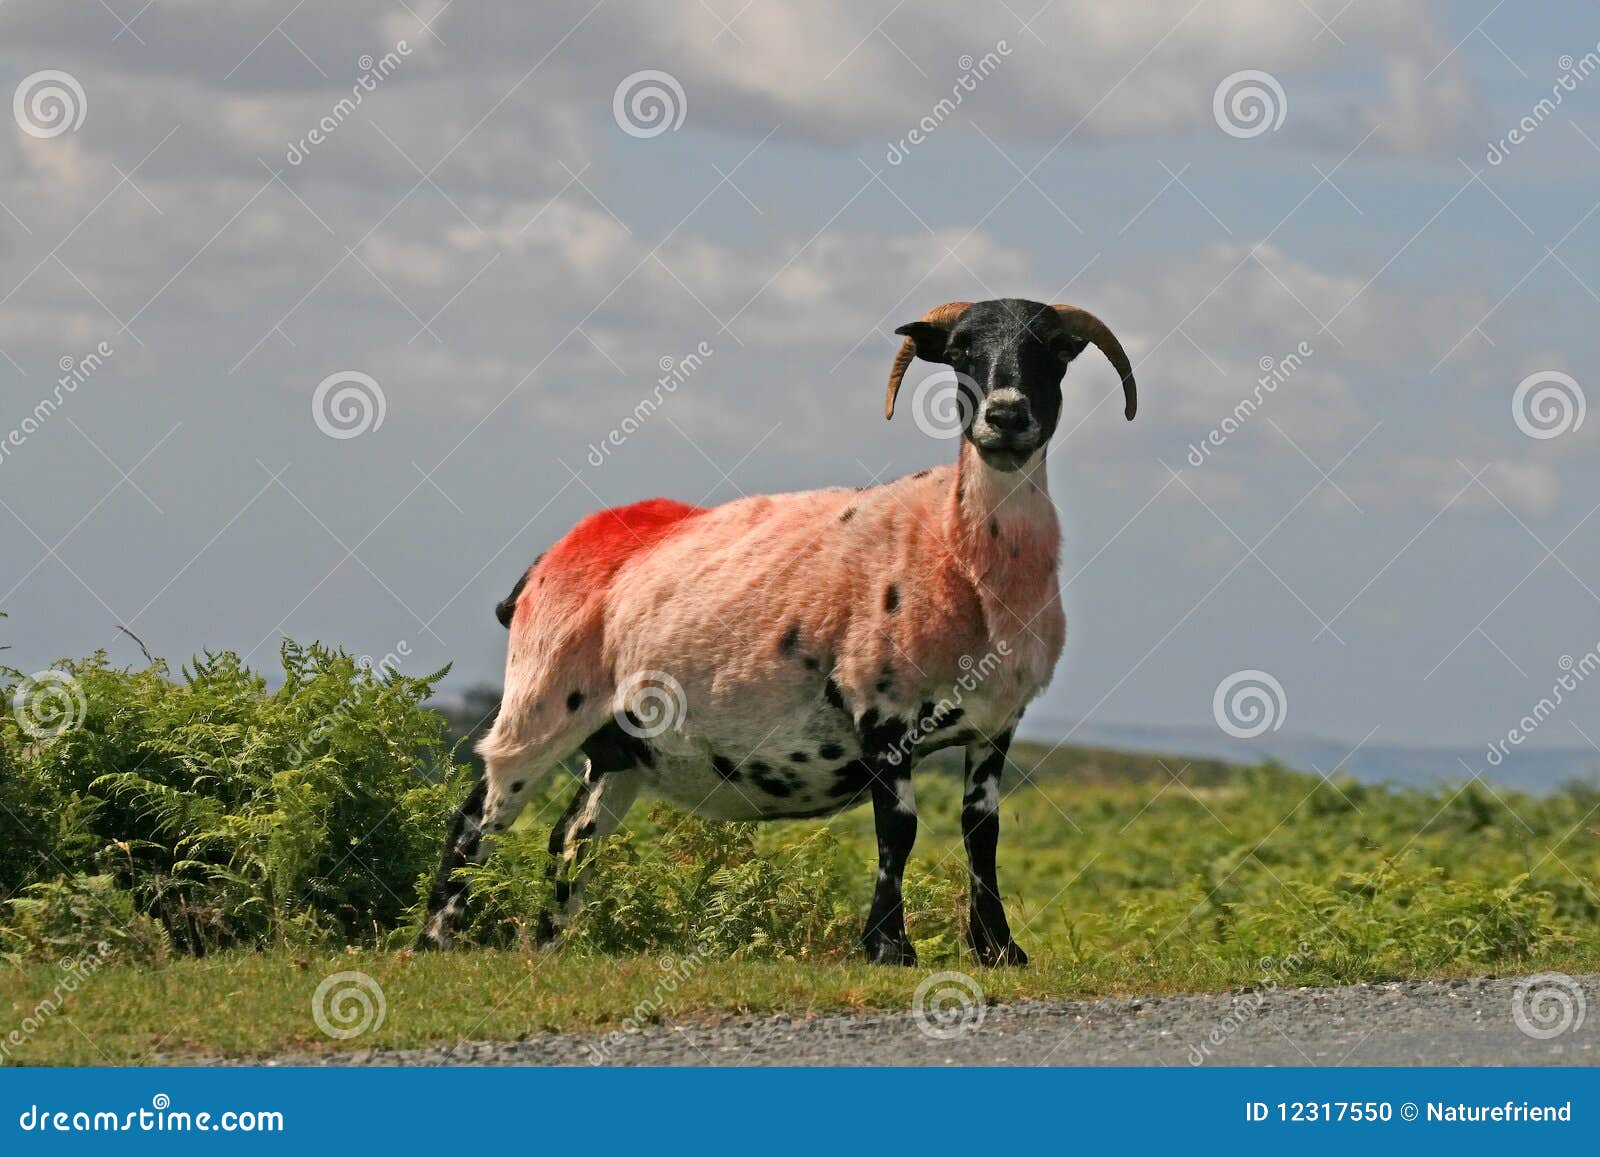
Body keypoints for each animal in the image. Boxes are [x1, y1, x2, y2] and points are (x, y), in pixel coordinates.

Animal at [419, 297, 1137, 965]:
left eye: (1054, 349)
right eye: (961, 351)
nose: (1007, 416)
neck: (959, 547)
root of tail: (547, 558)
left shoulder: (996, 724)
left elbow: (981, 832)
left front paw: (999, 951)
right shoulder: (882, 709)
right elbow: (898, 830)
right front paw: (889, 948)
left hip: (620, 744)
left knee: (572, 836)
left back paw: (550, 945)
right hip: (541, 698)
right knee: (478, 815)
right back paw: (435, 940)